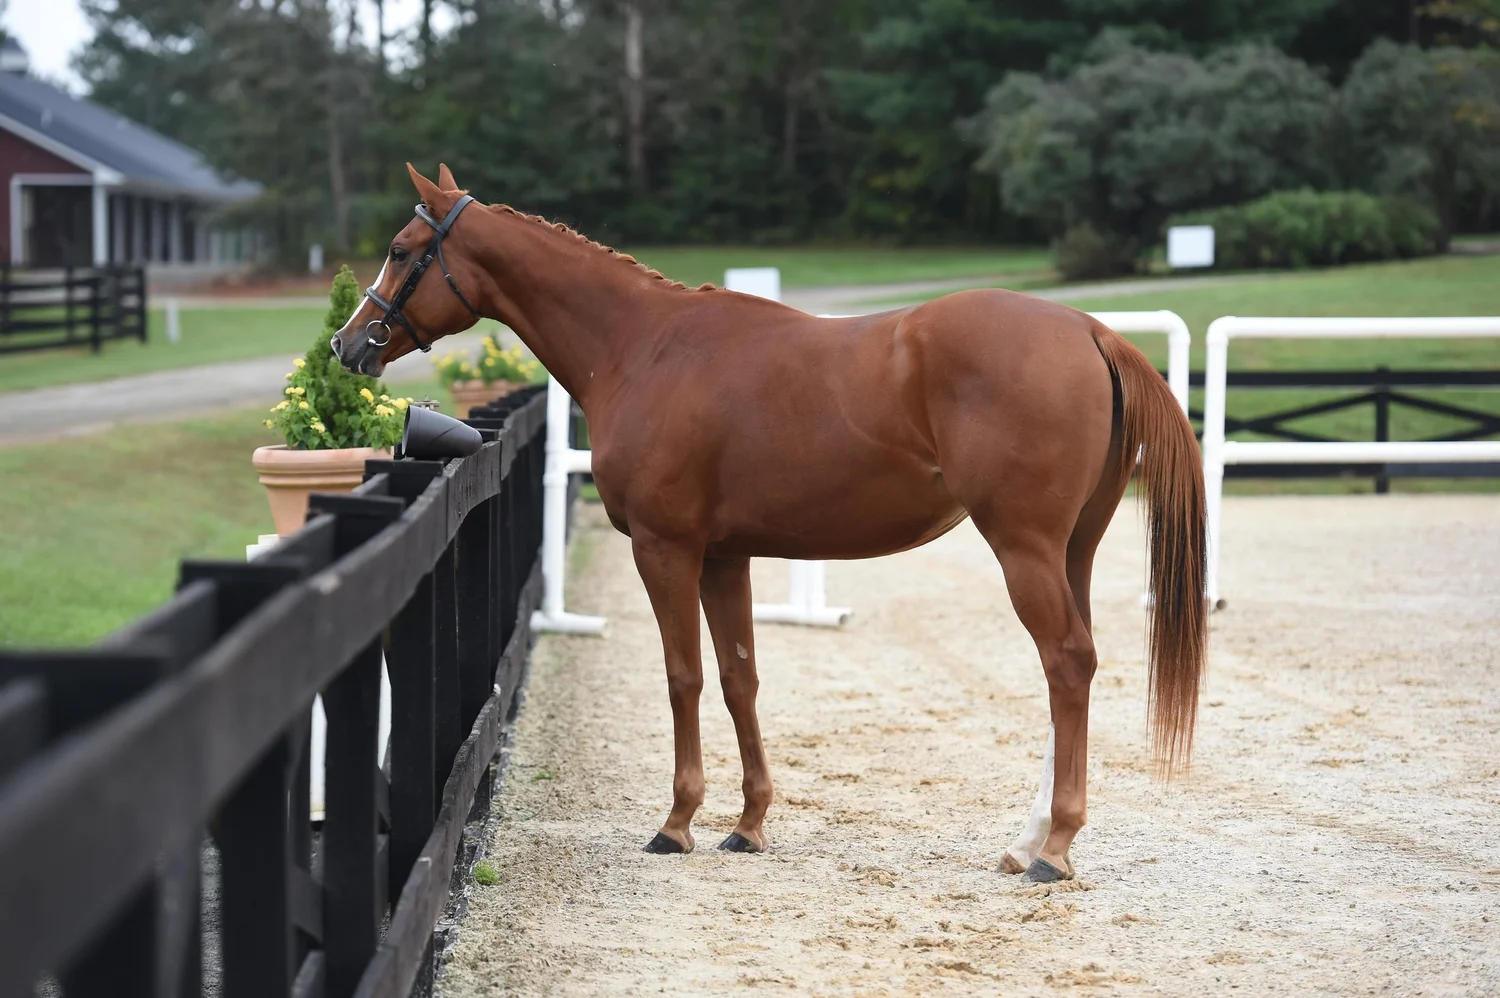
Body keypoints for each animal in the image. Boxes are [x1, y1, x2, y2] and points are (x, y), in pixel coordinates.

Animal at [331, 164, 1208, 882]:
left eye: (404, 250)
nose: (348, 345)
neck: (645, 348)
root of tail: (1089, 329)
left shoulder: (667, 551)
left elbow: (682, 676)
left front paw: (678, 821)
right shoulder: (726, 557)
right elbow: (738, 677)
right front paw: (748, 824)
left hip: (1023, 549)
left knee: (1066, 663)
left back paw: (1054, 848)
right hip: (1073, 551)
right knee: (1076, 664)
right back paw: (1029, 841)